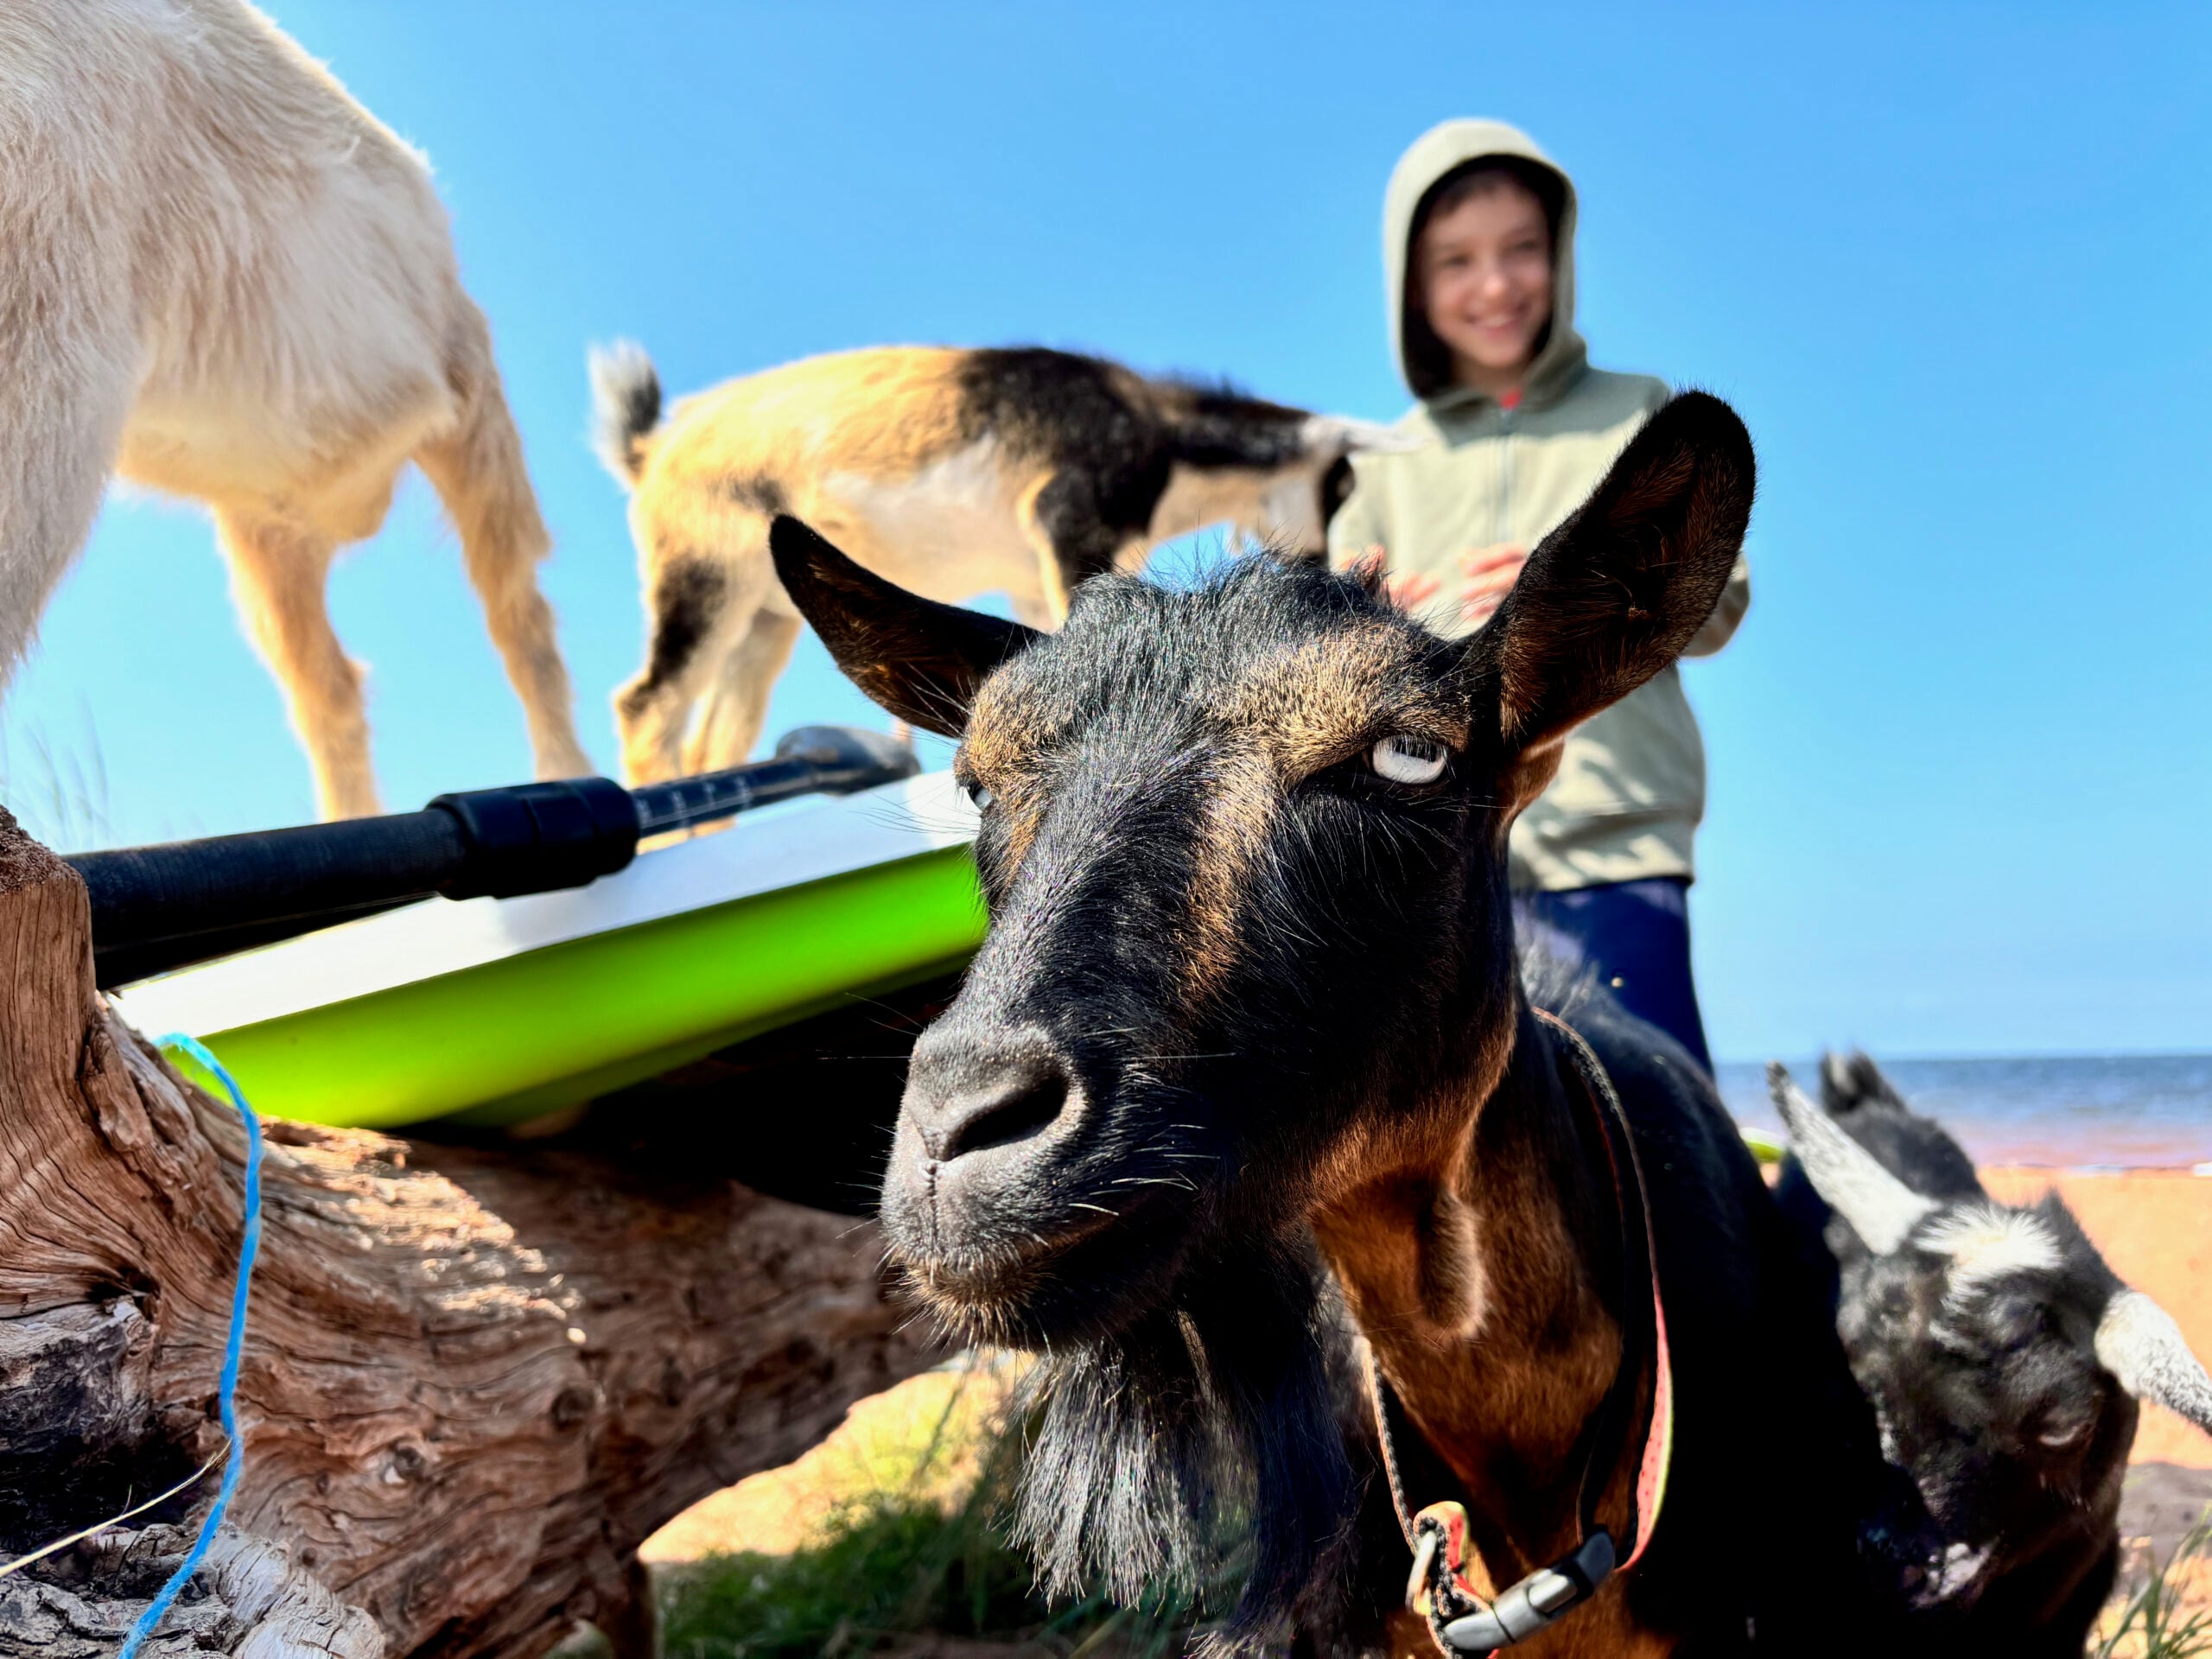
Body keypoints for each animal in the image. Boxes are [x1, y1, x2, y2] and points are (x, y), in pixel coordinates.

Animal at [0, 0, 591, 818]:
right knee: (326, 683)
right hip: (269, 523)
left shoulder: (59, 301)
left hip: (473, 387)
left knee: (517, 609)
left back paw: (567, 775)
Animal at [588, 342, 1397, 786]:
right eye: (1341, 486)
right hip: (706, 576)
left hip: (767, 617)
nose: (1323, 567)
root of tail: (653, 448)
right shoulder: (1071, 521)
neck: (1160, 433)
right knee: (647, 702)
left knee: (711, 737)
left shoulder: (1032, 580)